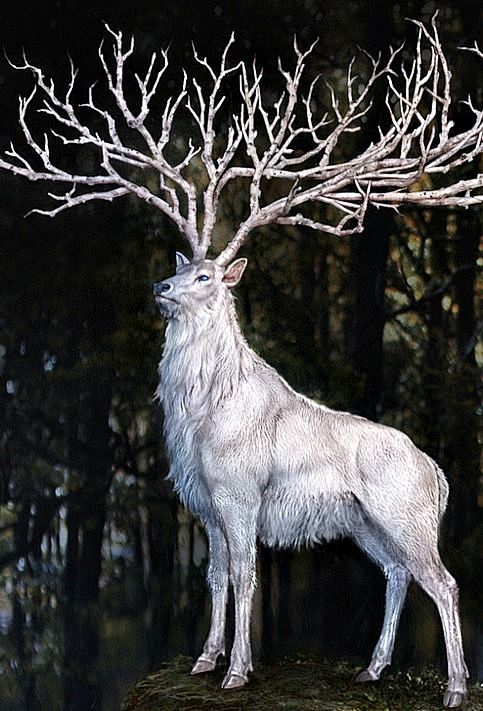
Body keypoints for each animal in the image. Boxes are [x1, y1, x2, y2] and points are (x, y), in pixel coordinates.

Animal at [1, 15, 481, 708]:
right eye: (180, 265)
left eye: (206, 276)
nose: (161, 287)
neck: (200, 422)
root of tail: (439, 476)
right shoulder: (201, 500)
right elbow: (215, 575)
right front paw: (206, 659)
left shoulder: (240, 490)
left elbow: (247, 575)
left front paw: (237, 670)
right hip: (366, 524)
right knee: (396, 575)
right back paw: (370, 670)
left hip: (406, 514)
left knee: (443, 581)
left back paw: (454, 688)